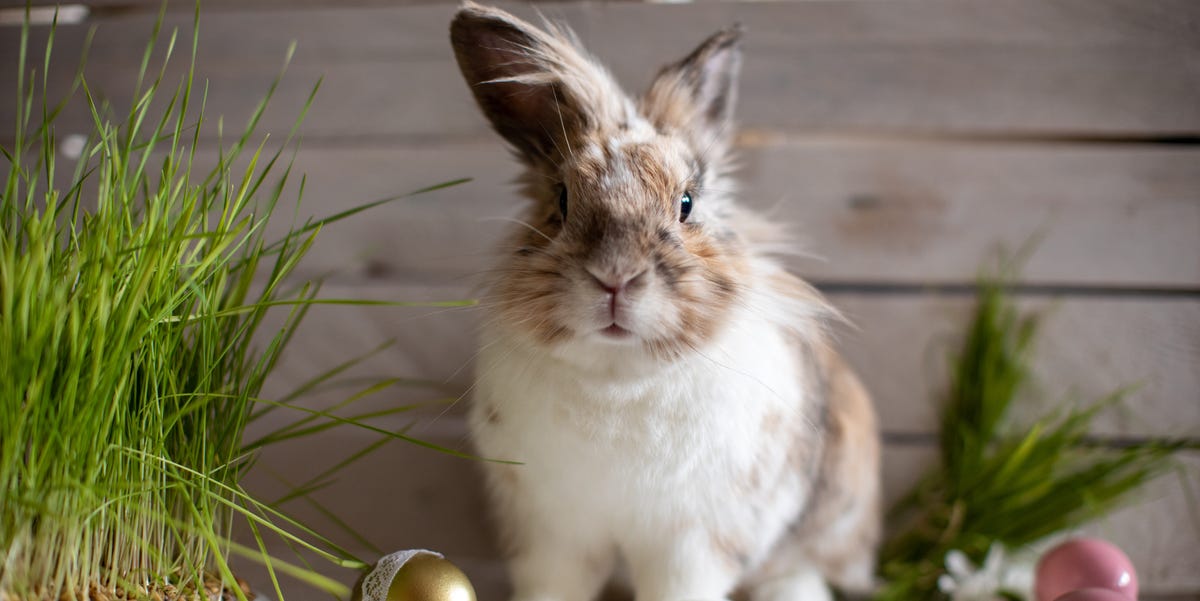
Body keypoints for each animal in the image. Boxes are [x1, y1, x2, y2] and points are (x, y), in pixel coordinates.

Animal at [449, 4, 881, 601]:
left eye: (686, 203)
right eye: (562, 199)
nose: (615, 277)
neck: (617, 378)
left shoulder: (693, 546)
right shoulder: (552, 538)